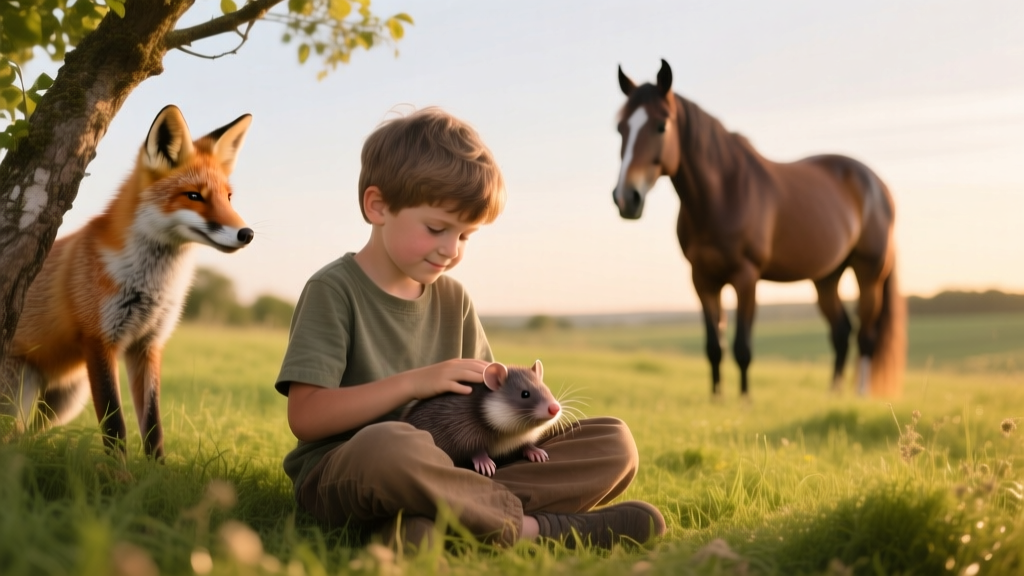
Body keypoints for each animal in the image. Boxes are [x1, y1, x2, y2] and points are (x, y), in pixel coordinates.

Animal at [1, 105, 254, 459]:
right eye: (194, 196)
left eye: (228, 198)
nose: (247, 234)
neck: (151, 283)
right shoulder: (99, 341)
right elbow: (114, 424)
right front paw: (119, 471)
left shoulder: (148, 344)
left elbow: (152, 425)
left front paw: (156, 470)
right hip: (19, 400)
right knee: (13, 436)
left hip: (65, 400)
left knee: (28, 436)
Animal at [612, 59, 906, 397]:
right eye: (621, 128)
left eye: (661, 125)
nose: (625, 197)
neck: (724, 194)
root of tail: (878, 185)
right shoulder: (702, 279)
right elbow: (714, 346)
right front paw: (716, 398)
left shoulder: (746, 277)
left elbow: (742, 346)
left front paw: (744, 399)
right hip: (827, 277)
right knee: (841, 332)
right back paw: (833, 393)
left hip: (869, 273)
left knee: (865, 335)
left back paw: (860, 394)